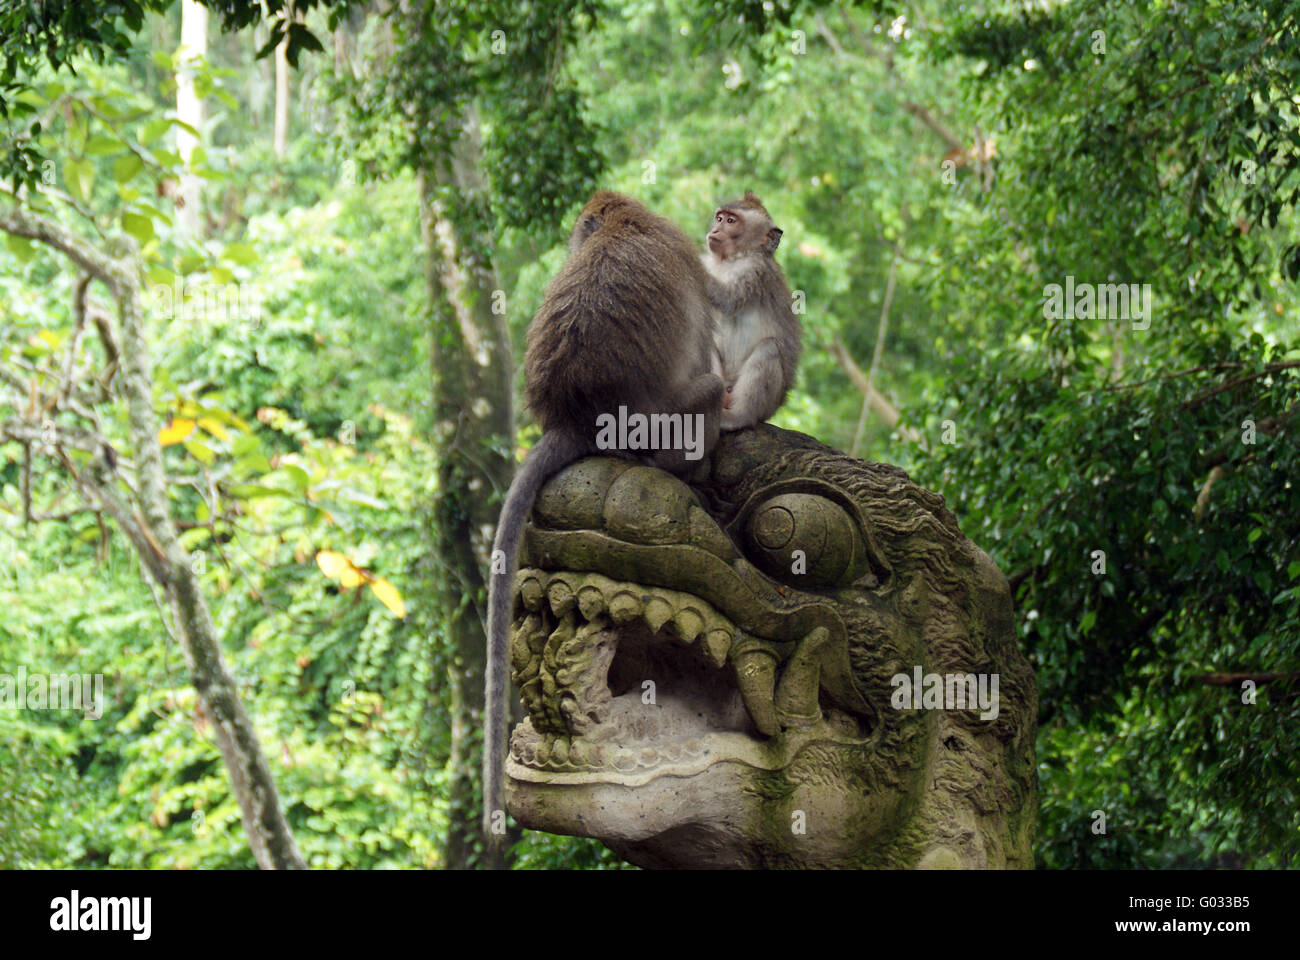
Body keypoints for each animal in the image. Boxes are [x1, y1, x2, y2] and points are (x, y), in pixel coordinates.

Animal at [701, 192, 801, 431]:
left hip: (767, 403)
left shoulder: (755, 270)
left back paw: (738, 417)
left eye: (731, 221)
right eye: (719, 218)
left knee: (769, 349)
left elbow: (728, 299)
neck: (730, 259)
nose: (714, 231)